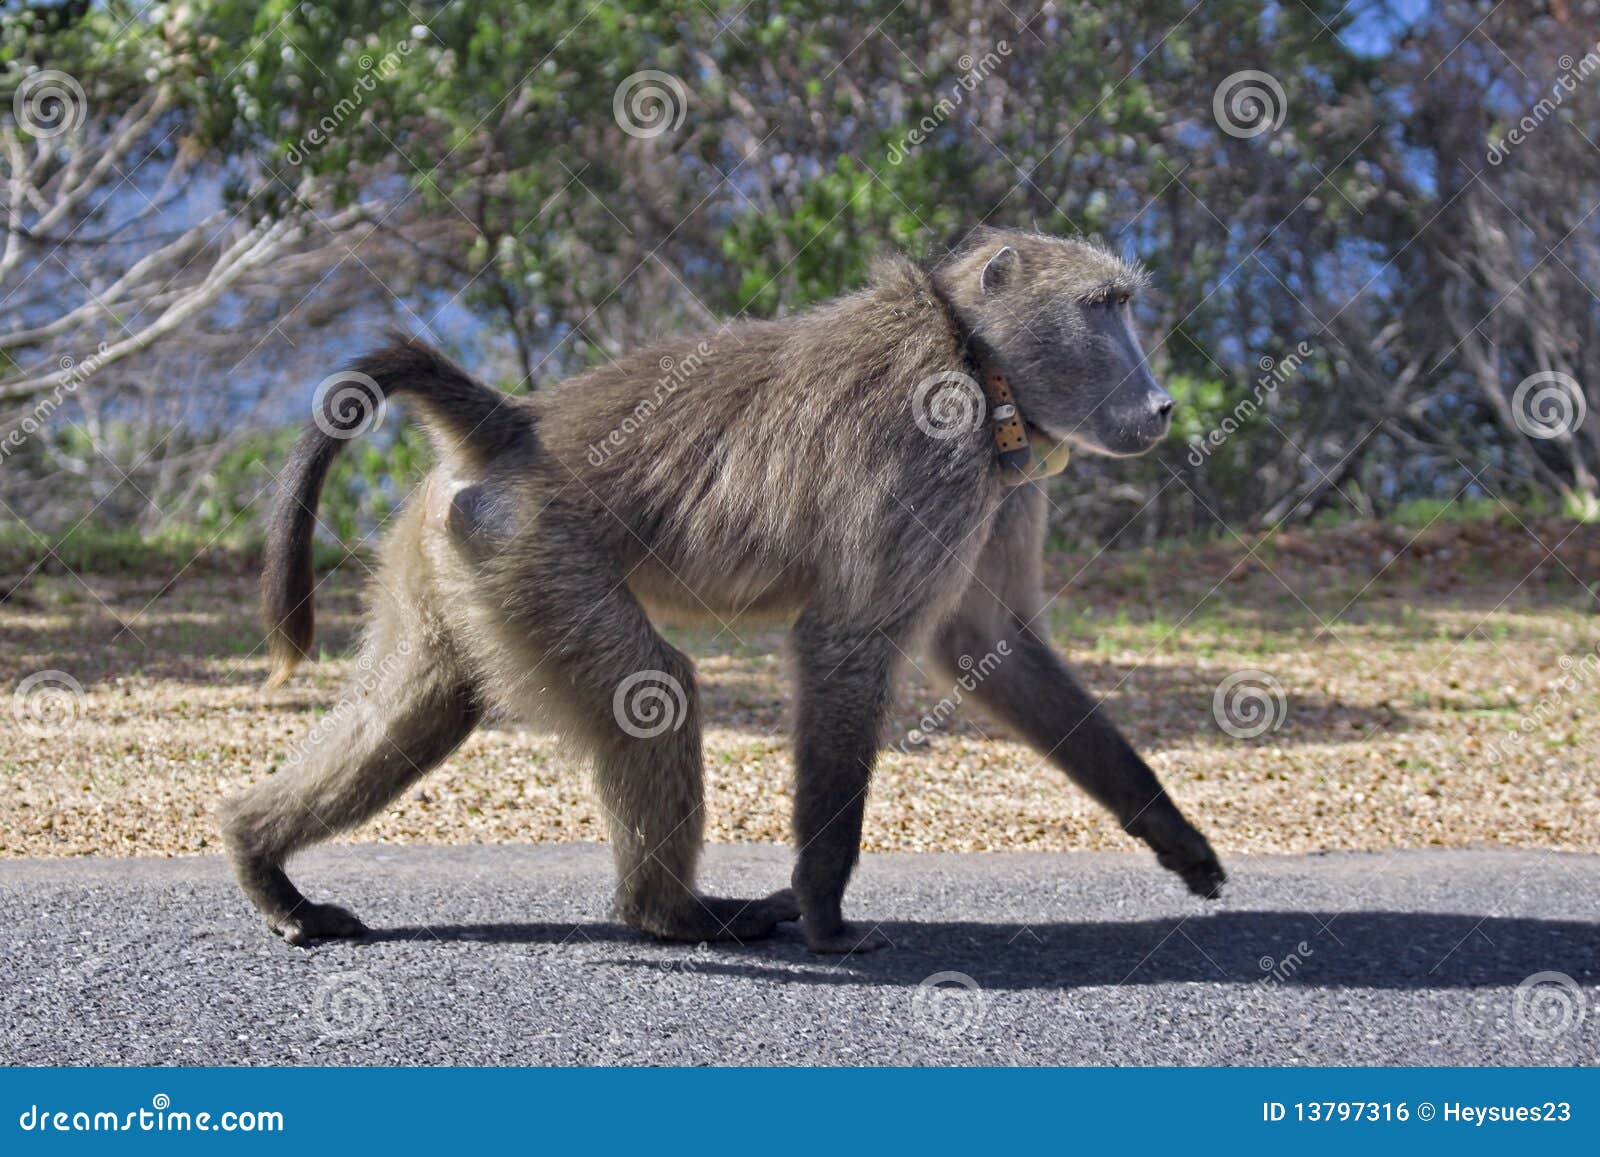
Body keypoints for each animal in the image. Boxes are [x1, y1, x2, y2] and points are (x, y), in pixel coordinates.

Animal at [219, 227, 1226, 953]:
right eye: (1103, 309)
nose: (1164, 404)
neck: (975, 358)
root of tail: (515, 426)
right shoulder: (935, 452)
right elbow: (848, 642)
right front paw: (827, 917)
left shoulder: (1003, 484)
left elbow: (987, 640)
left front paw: (1177, 836)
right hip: (537, 548)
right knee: (655, 689)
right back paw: (672, 914)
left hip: (453, 553)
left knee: (418, 709)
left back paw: (262, 861)